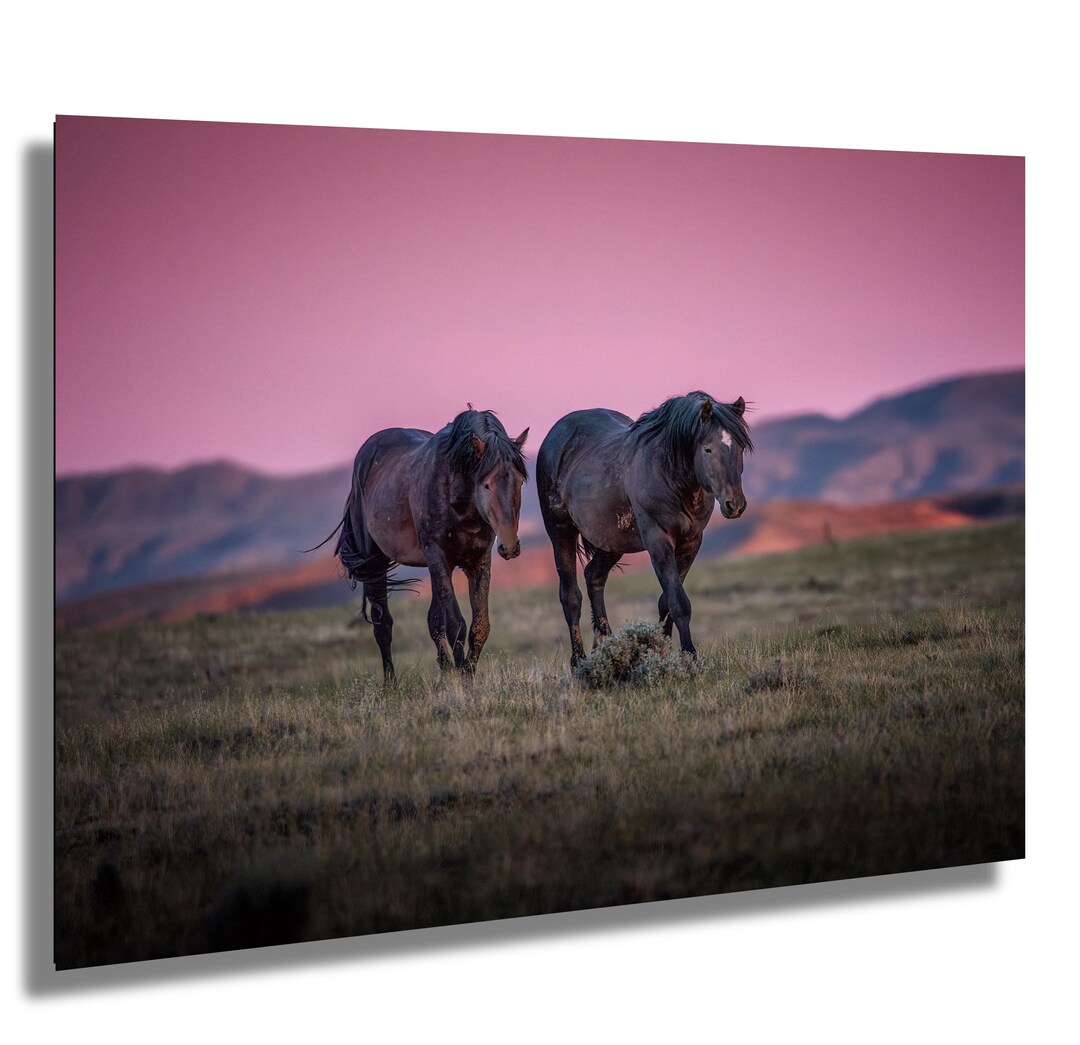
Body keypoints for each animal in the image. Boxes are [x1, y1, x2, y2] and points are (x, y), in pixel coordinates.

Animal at [321, 409, 529, 681]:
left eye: (520, 481)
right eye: (486, 484)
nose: (510, 546)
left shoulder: (480, 561)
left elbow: (479, 625)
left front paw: (467, 675)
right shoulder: (438, 557)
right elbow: (455, 625)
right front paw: (462, 679)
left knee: (432, 621)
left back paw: (444, 670)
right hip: (375, 562)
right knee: (383, 624)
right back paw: (391, 683)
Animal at [536, 391, 751, 669]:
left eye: (740, 447)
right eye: (708, 448)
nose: (734, 505)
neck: (669, 474)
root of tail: (554, 435)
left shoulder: (690, 543)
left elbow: (666, 602)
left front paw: (663, 653)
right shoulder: (658, 540)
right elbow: (678, 603)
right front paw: (689, 658)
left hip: (611, 541)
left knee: (594, 576)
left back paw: (604, 647)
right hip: (561, 532)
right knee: (570, 596)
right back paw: (579, 663)